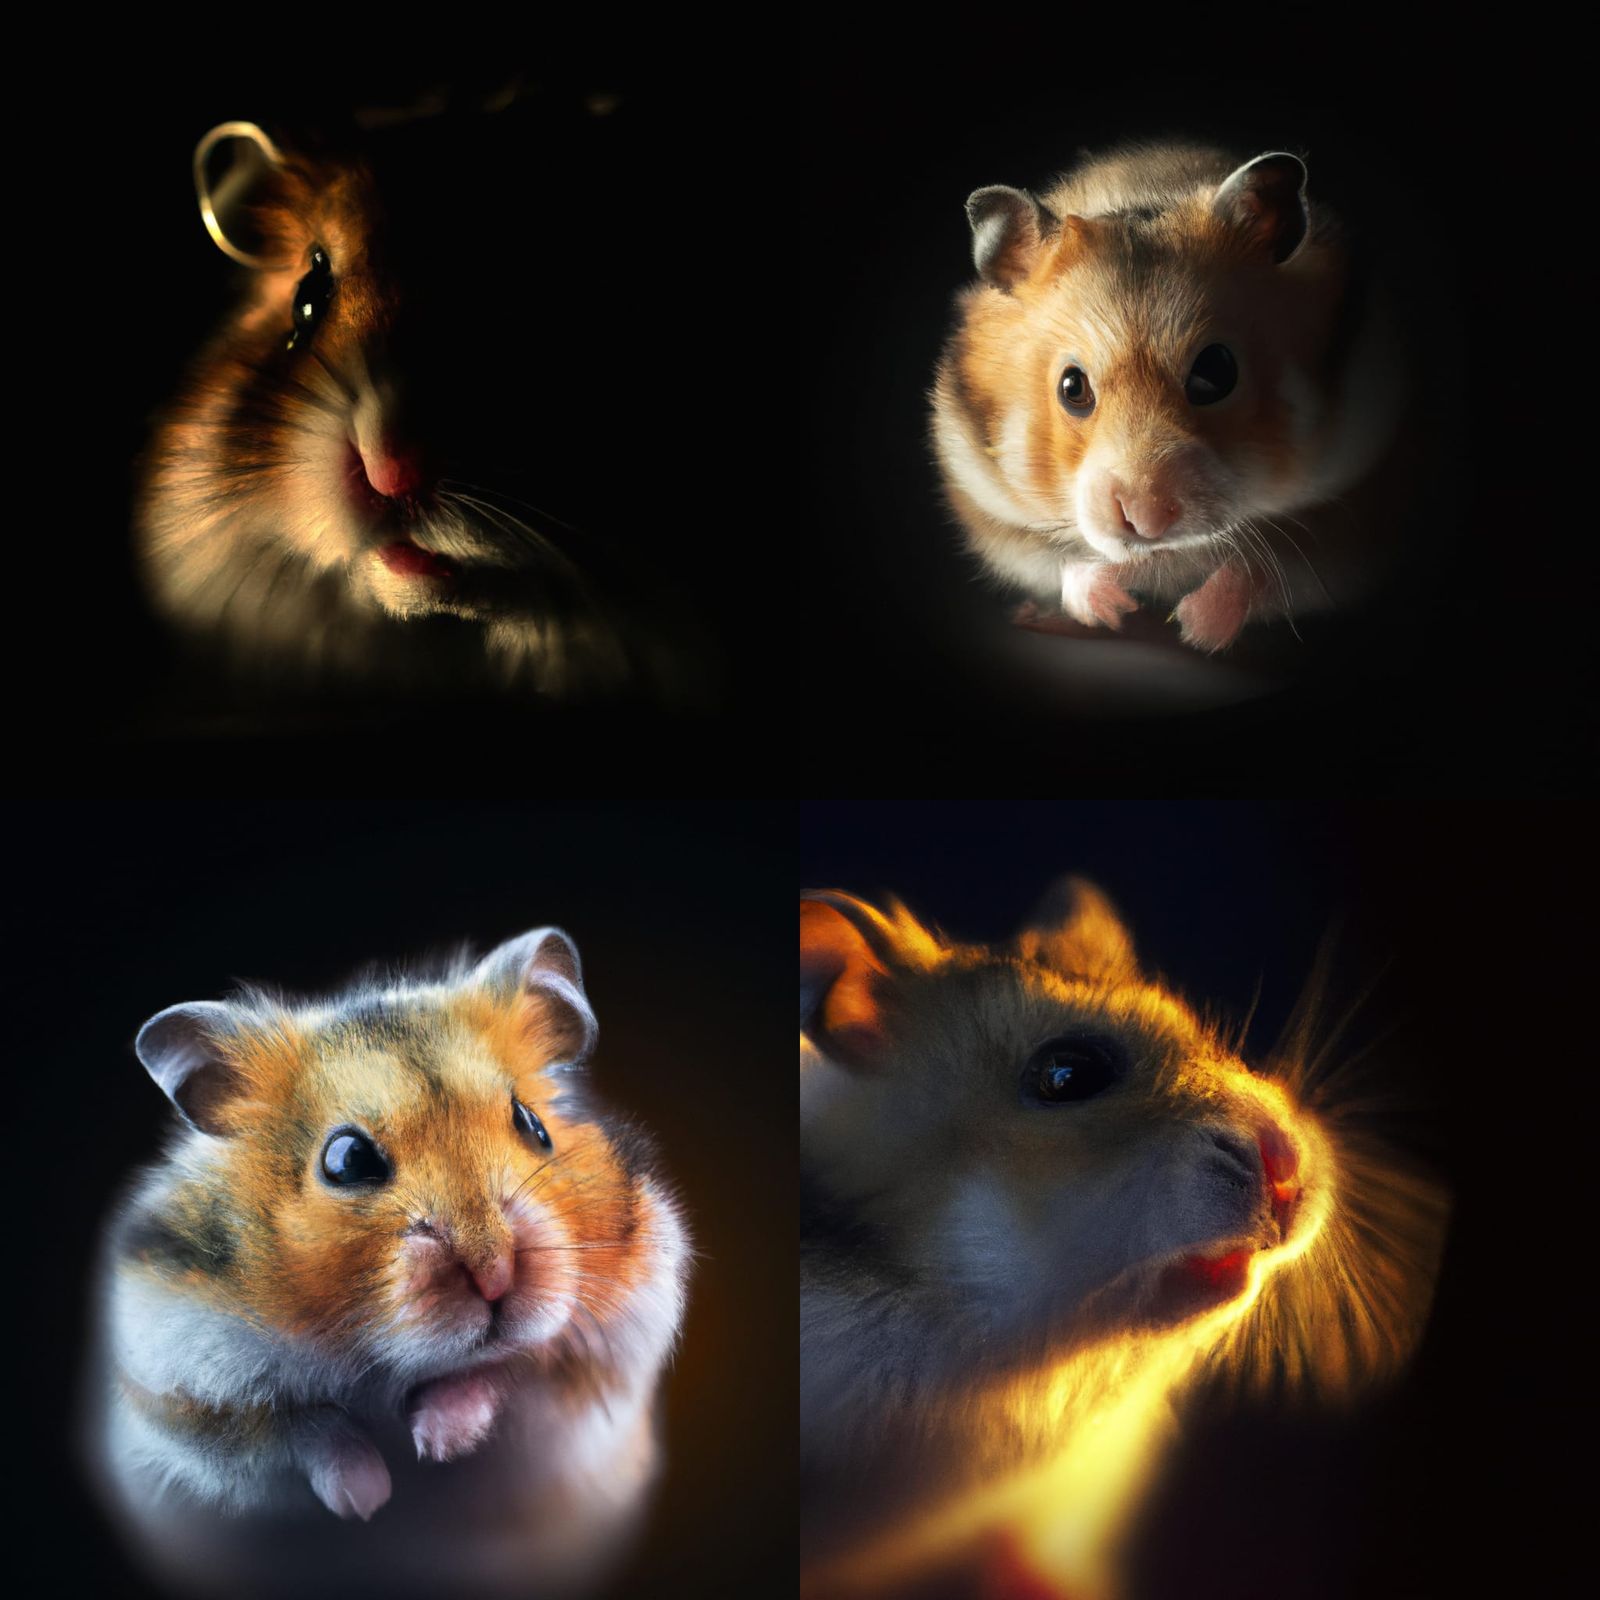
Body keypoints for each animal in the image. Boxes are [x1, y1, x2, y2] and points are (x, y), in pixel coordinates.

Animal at [82, 926, 690, 1600]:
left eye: (533, 1125)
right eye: (345, 1160)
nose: (496, 1276)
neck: (379, 1357)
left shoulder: (607, 1355)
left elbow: (509, 1370)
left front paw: (437, 1441)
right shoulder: (179, 1383)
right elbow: (301, 1426)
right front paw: (366, 1499)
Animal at [930, 142, 1403, 652]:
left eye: (1216, 372)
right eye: (1072, 388)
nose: (1146, 523)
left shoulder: (1351, 519)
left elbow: (1266, 573)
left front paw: (1194, 626)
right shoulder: (992, 509)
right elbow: (1062, 565)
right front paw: (1115, 606)